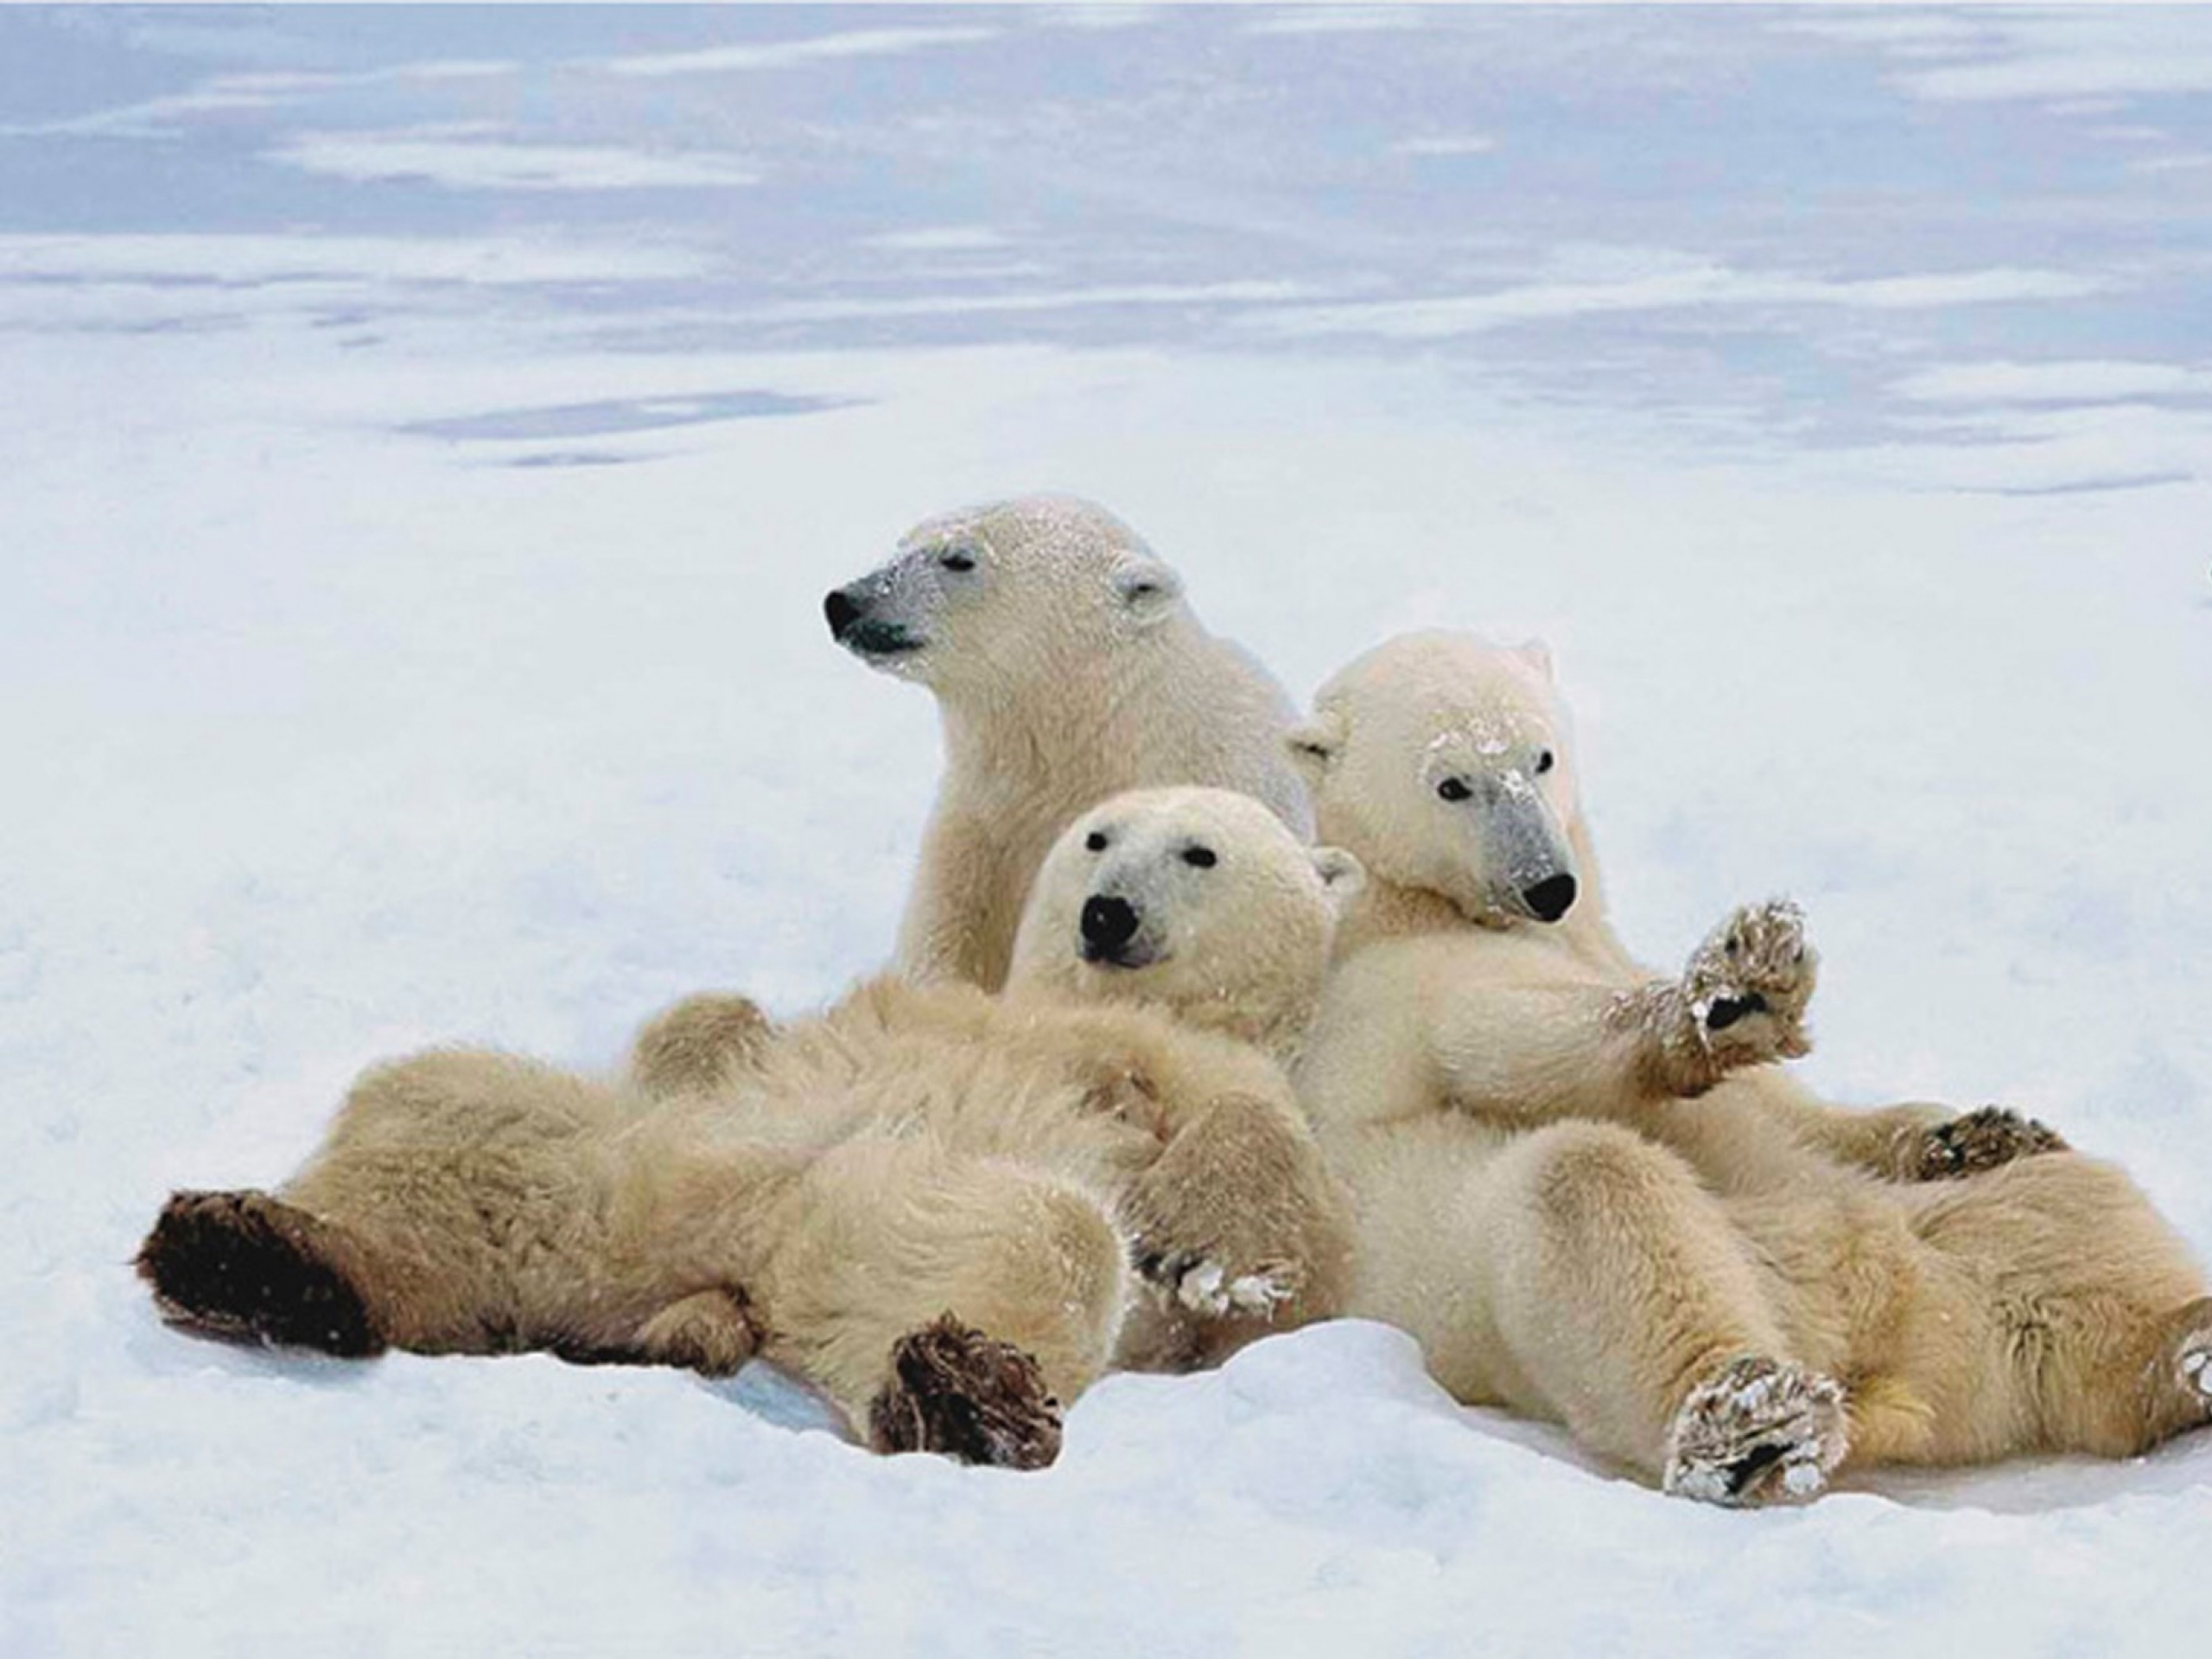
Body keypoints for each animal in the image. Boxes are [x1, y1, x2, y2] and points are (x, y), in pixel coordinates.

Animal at [138, 788, 1358, 1469]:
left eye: (1199, 851)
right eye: (1099, 835)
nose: (1107, 912)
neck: (1090, 999)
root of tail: (691, 1279)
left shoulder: (1195, 1063)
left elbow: (1246, 1131)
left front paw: (1208, 1253)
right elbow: (709, 1034)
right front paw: (711, 1032)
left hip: (856, 1219)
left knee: (1043, 1234)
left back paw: (968, 1393)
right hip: (605, 1167)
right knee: (434, 1102)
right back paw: (254, 1252)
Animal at [1283, 630, 2212, 1501]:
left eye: (1539, 755)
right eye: (1452, 784)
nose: (1549, 884)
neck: (1414, 905)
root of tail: (1893, 1362)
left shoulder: (1595, 948)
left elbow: (1804, 1115)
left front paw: (1975, 1132)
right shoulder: (1398, 987)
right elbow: (1516, 1047)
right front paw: (1730, 996)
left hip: (1946, 1243)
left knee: (2070, 1216)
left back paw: (2188, 1345)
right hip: (1530, 1284)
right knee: (1589, 1187)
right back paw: (1749, 1422)